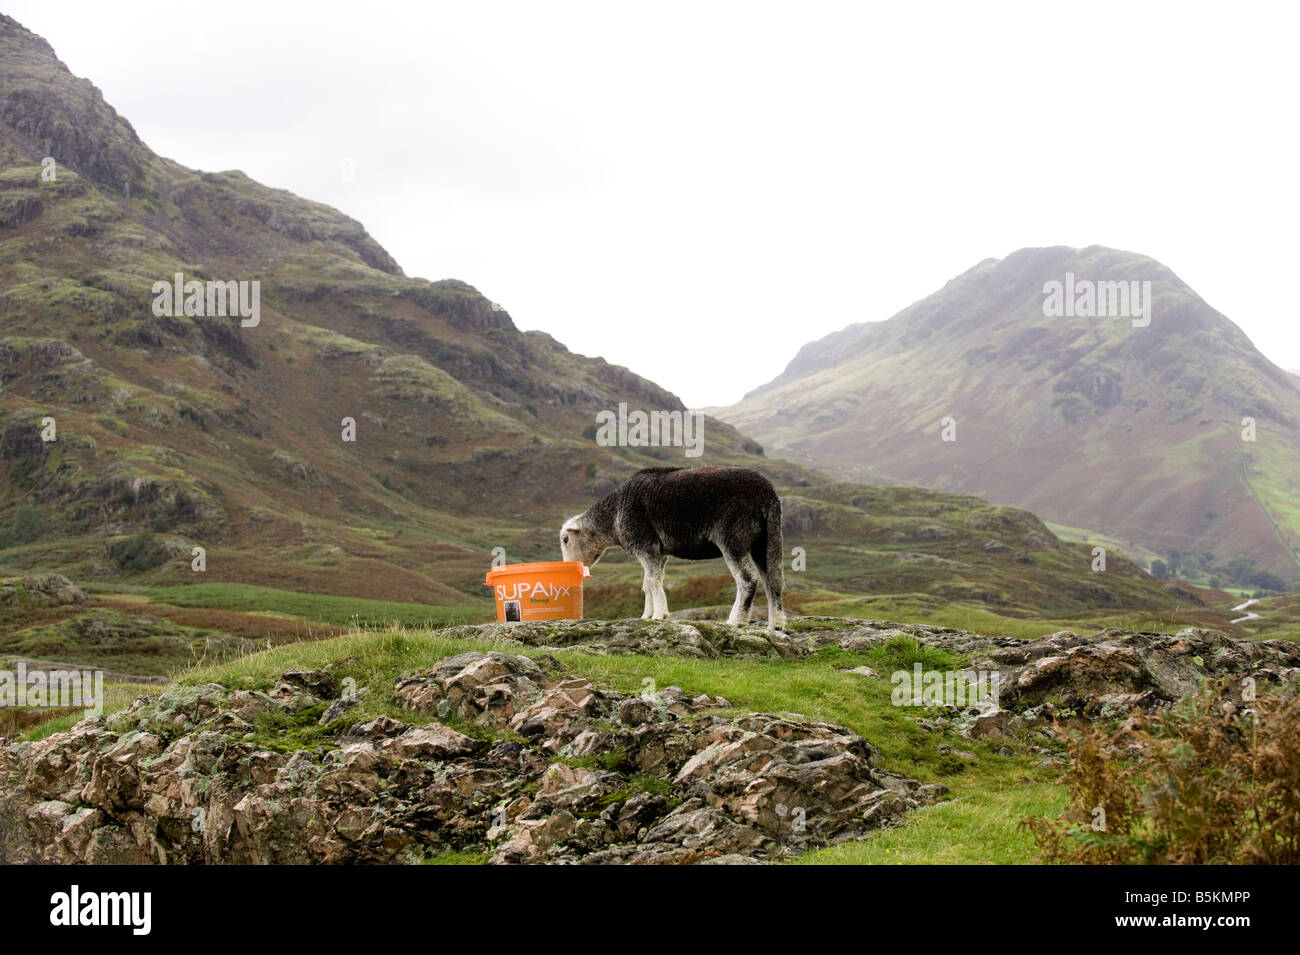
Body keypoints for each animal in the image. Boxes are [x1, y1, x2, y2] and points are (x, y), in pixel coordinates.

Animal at [560, 465, 786, 629]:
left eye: (565, 540)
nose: (568, 570)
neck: (614, 517)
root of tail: (767, 495)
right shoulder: (659, 551)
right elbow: (649, 582)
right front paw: (647, 615)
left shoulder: (645, 543)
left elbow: (652, 581)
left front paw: (659, 615)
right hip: (766, 538)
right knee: (773, 580)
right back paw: (775, 625)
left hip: (733, 536)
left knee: (748, 579)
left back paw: (736, 620)